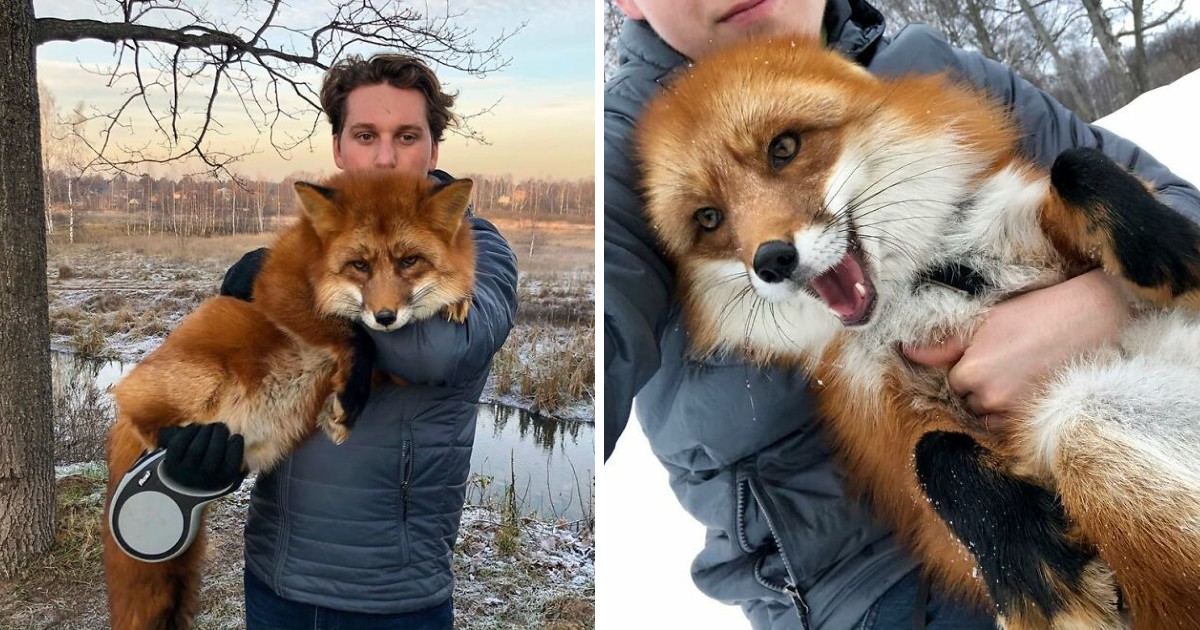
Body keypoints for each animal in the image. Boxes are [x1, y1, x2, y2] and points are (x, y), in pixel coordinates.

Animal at [102, 171, 476, 629]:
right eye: (360, 266)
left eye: (410, 262)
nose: (386, 316)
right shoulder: (280, 285)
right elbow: (355, 334)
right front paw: (350, 401)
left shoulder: (399, 368)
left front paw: (459, 299)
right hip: (208, 360)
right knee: (142, 417)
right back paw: (172, 456)